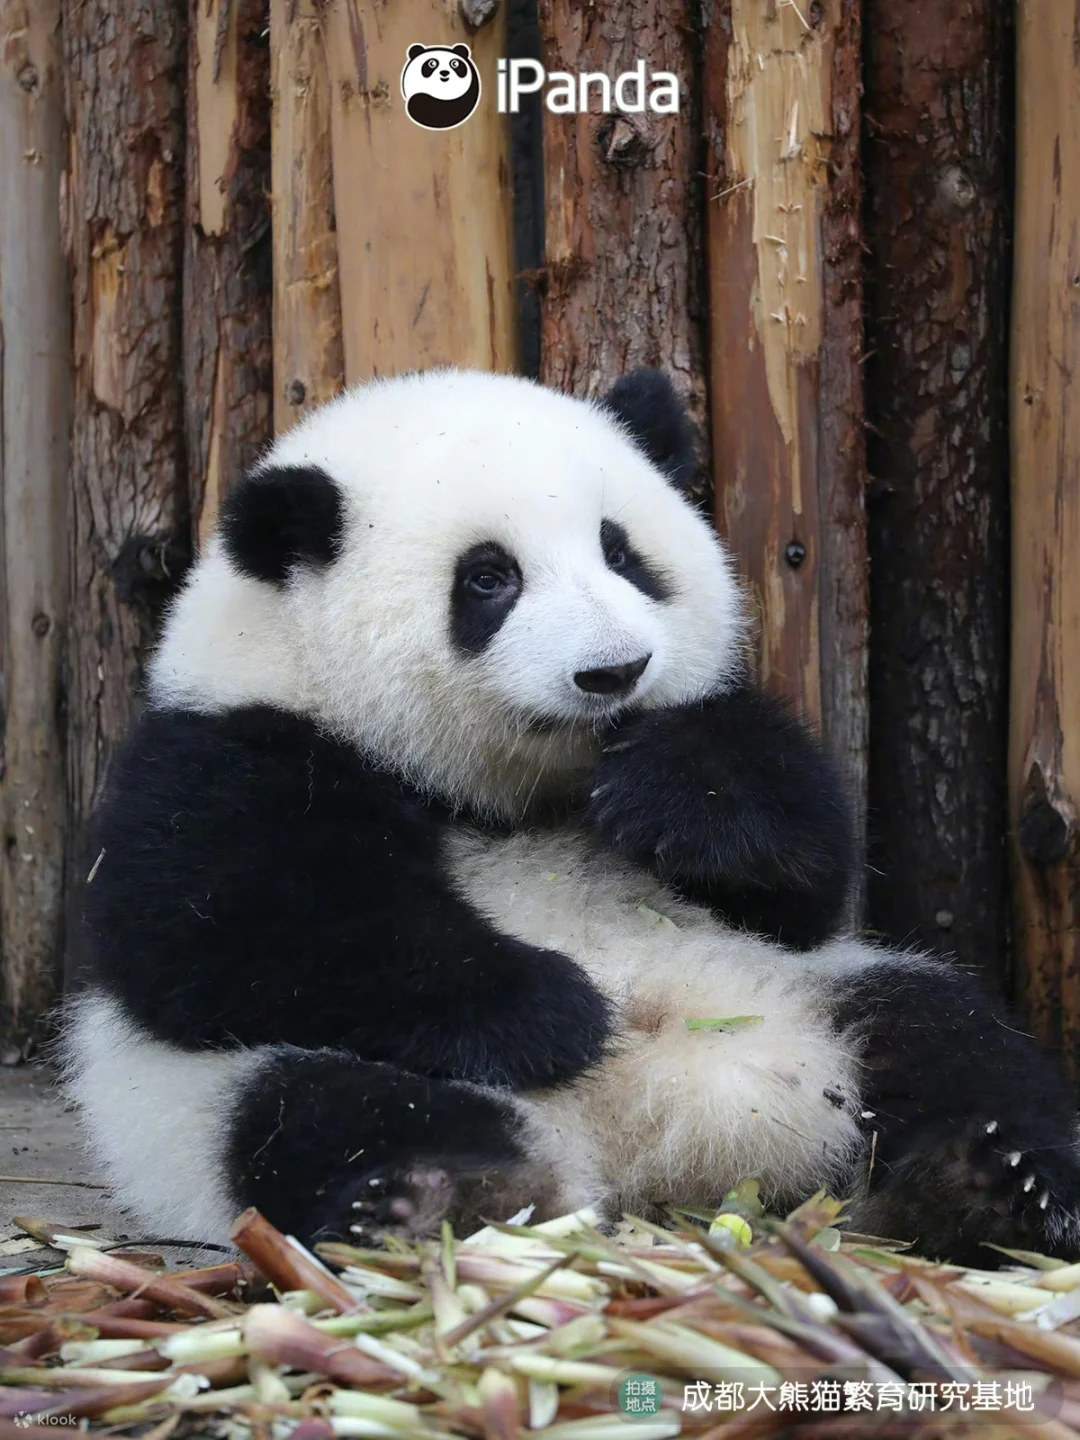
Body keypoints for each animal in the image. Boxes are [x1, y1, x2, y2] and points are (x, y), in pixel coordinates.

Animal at [61, 368, 1080, 1265]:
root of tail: (675, 1150)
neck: (514, 794)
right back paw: (441, 1198)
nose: (614, 672)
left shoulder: (747, 811)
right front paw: (552, 1009)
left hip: (810, 996)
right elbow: (215, 935)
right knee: (320, 1109)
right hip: (217, 1096)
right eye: (488, 579)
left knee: (948, 1038)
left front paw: (677, 792)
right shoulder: (225, 749)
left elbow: (807, 879)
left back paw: (998, 1184)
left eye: (622, 552)